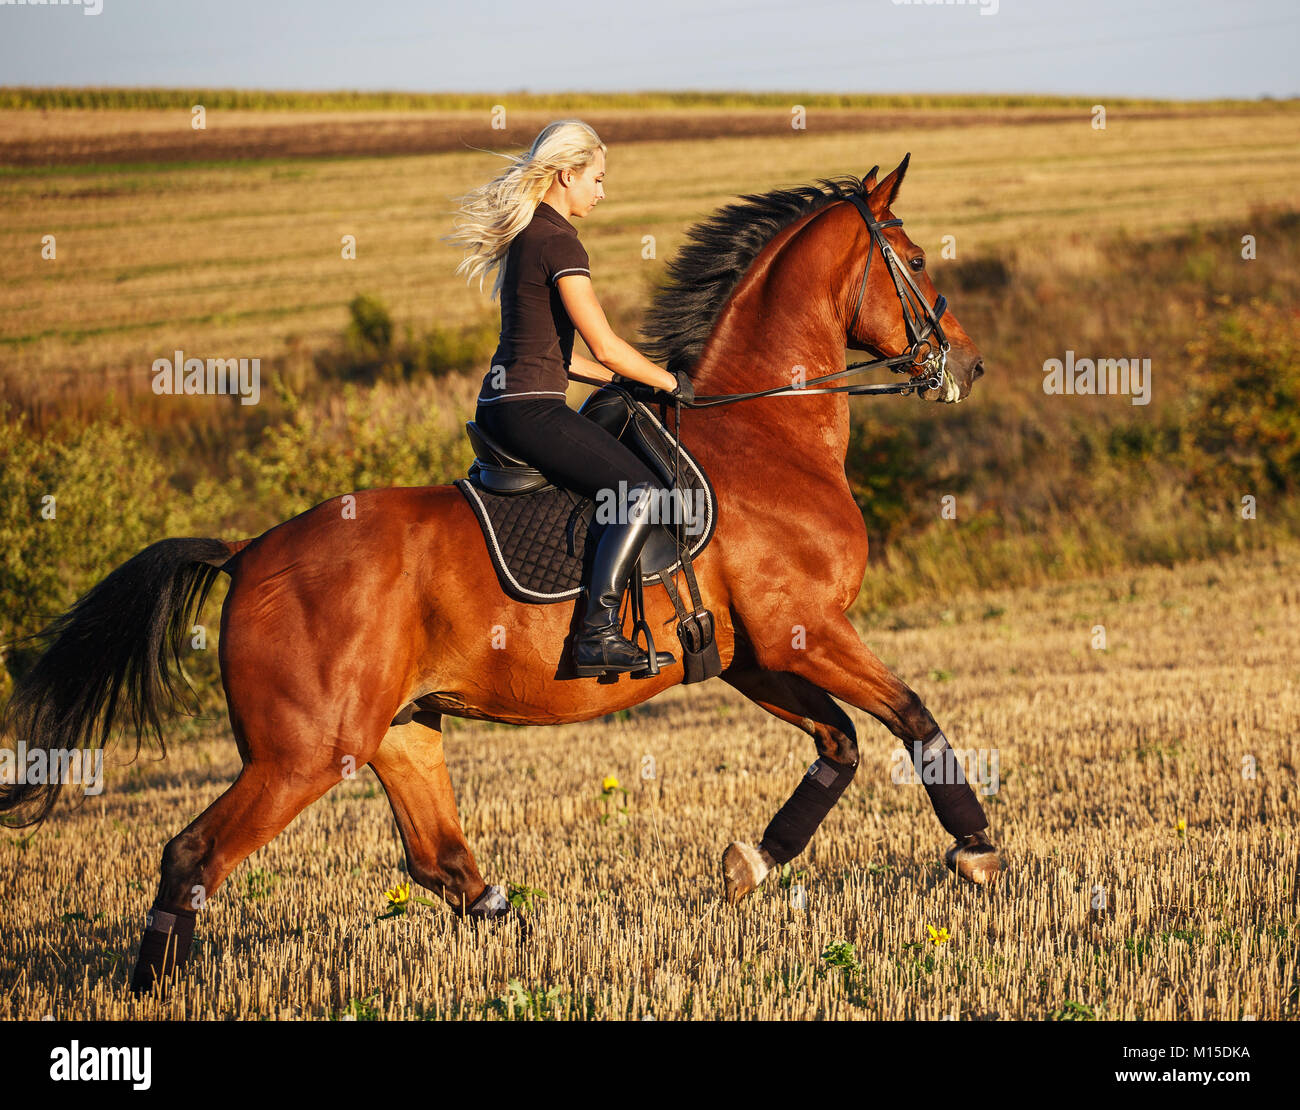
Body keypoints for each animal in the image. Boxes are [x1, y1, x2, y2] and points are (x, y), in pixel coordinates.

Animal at [0, 155, 1003, 995]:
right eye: (916, 256)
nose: (969, 359)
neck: (765, 436)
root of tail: (247, 554)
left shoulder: (754, 654)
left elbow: (839, 745)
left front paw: (752, 865)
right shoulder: (809, 632)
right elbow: (913, 716)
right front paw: (978, 850)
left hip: (399, 730)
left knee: (442, 863)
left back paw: (542, 949)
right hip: (303, 754)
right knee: (194, 855)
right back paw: (151, 989)